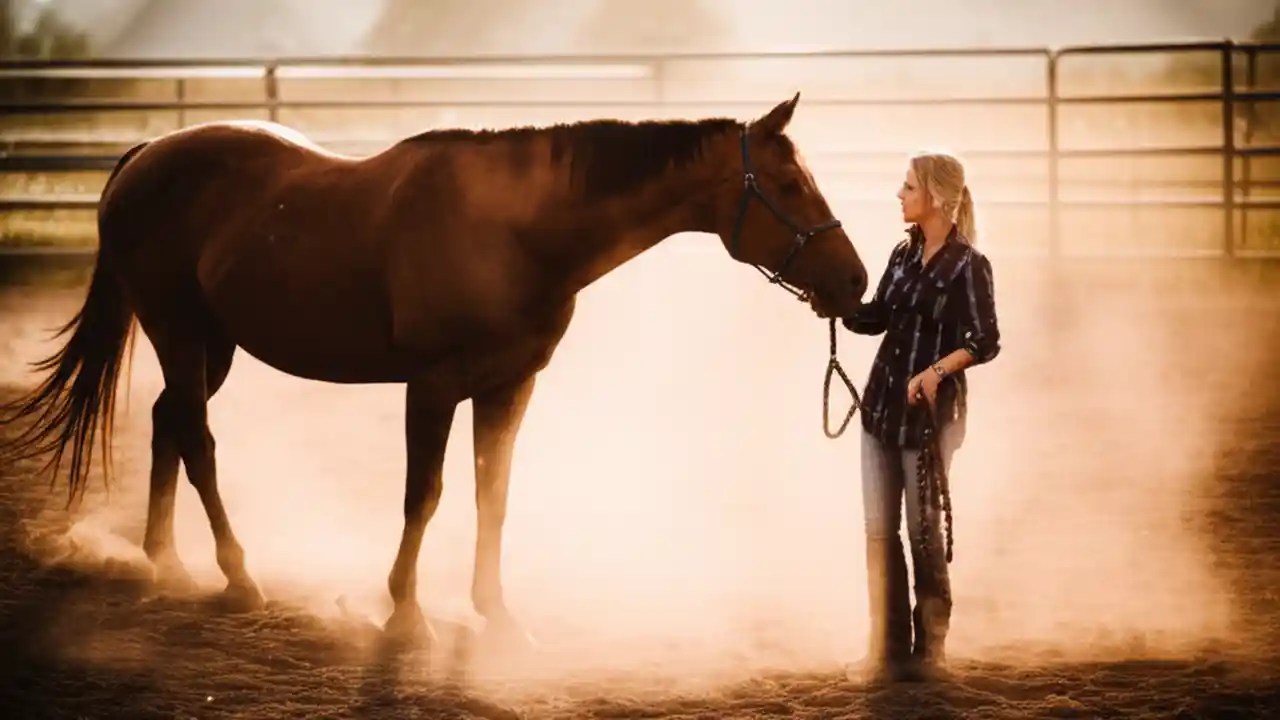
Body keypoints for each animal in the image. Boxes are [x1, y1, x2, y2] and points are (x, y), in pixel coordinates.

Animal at [0, 93, 868, 646]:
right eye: (788, 184)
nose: (855, 283)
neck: (517, 231)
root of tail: (147, 155)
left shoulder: (510, 386)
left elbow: (493, 495)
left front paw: (498, 615)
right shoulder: (435, 385)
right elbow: (426, 495)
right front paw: (405, 615)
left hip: (212, 344)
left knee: (169, 425)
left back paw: (166, 560)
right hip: (179, 332)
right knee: (200, 442)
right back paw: (236, 575)